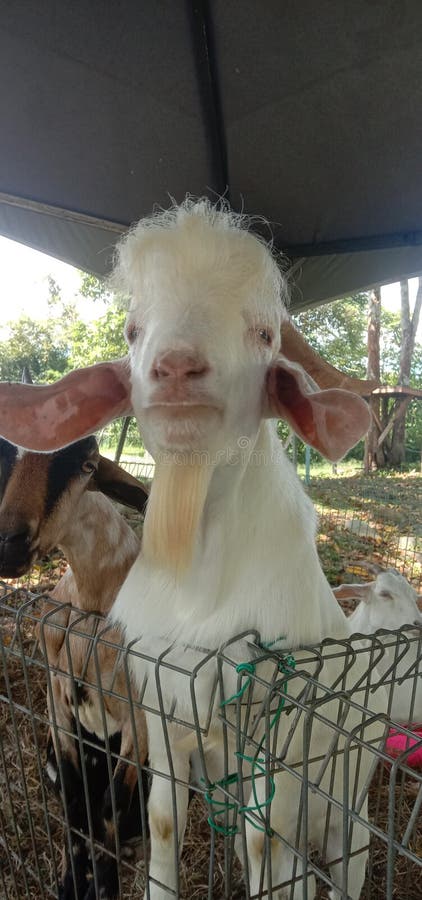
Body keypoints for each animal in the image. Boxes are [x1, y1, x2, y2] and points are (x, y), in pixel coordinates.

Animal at [0, 435, 150, 900]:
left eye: (87, 465)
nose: (8, 543)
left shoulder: (140, 718)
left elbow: (111, 806)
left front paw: (104, 884)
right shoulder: (56, 695)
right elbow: (72, 798)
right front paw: (70, 882)